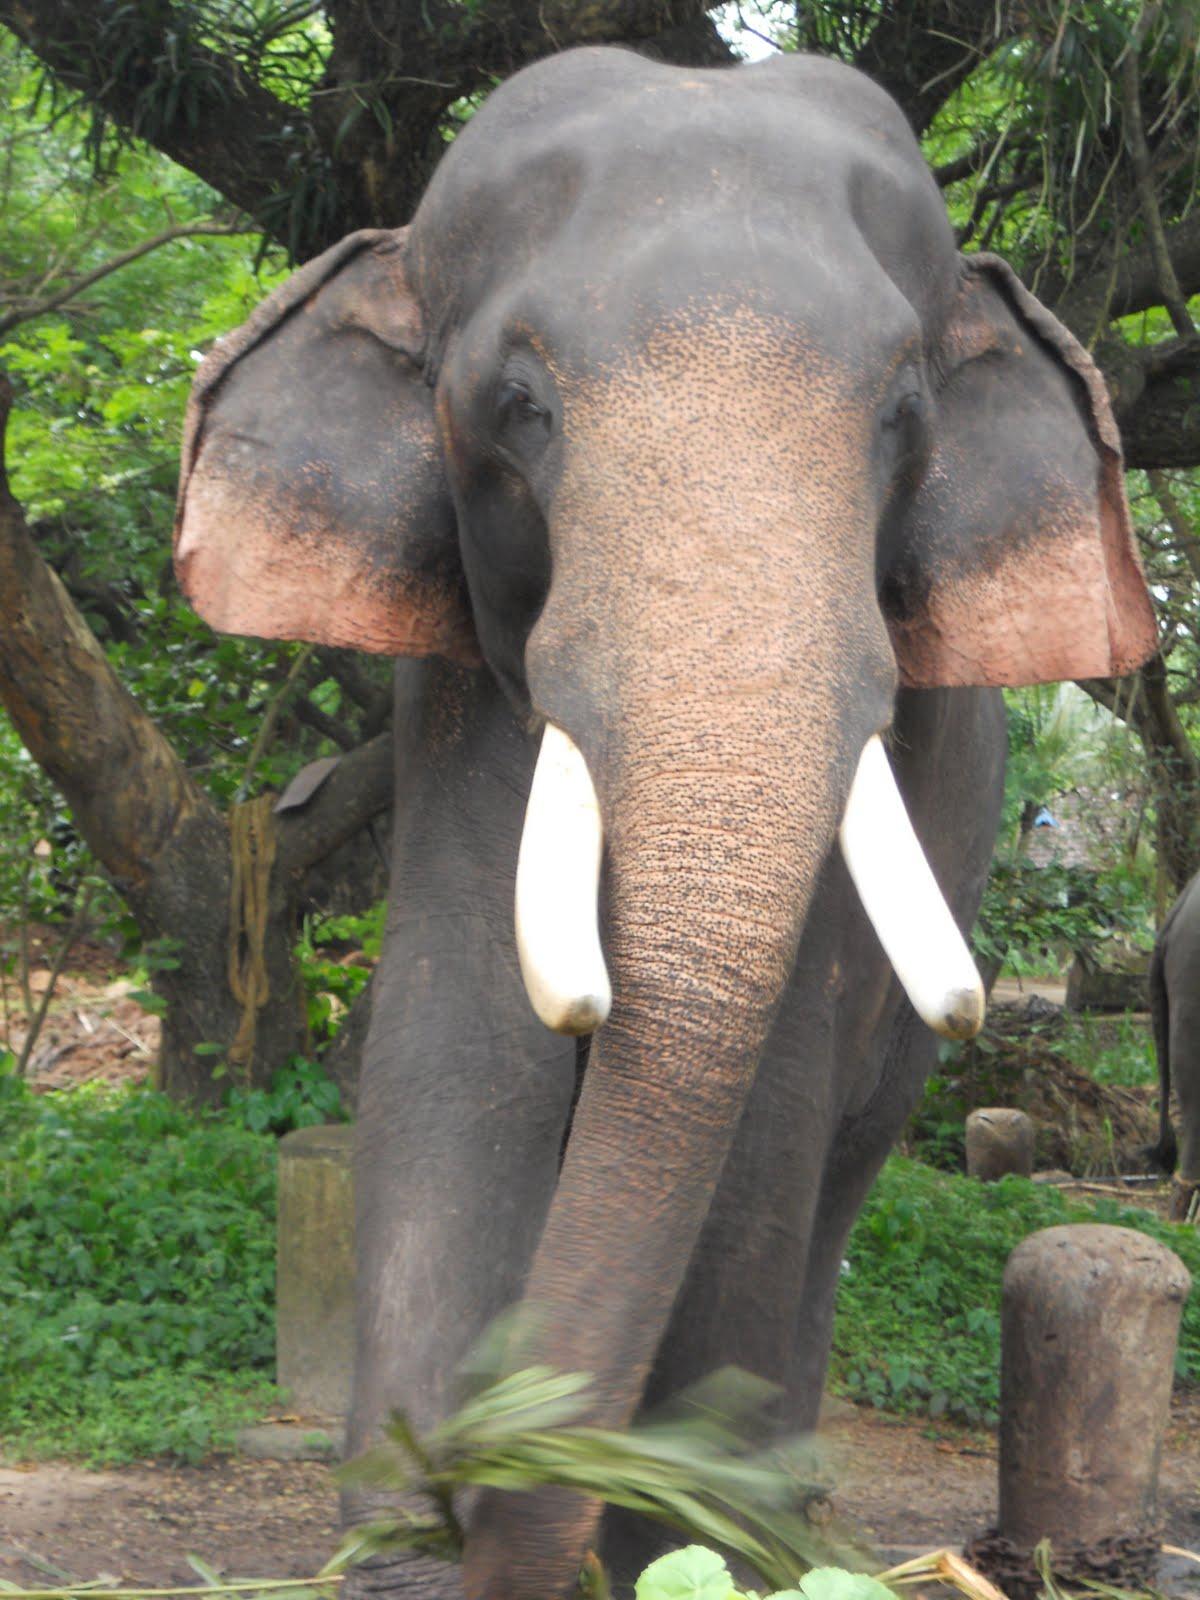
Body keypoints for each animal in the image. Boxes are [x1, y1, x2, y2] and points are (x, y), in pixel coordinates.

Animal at [173, 44, 1156, 1600]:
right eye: (521, 403)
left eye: (904, 414)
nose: (490, 1474)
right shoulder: (456, 685)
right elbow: (457, 1050)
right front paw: (410, 1539)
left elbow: (762, 1116)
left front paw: (663, 1533)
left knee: (838, 1173)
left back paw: (785, 1514)